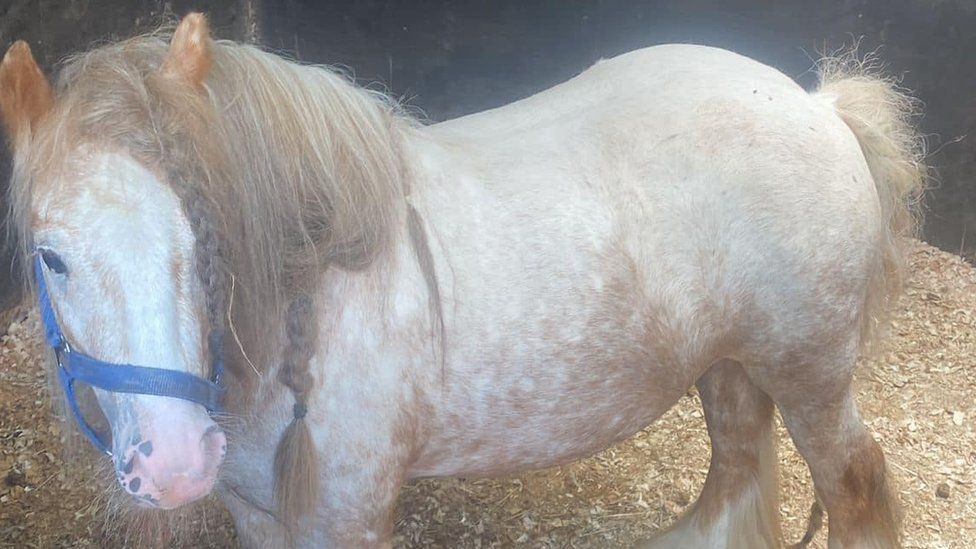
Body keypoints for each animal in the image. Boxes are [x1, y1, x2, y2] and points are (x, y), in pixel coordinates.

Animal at [0, 12, 924, 548]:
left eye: (207, 232)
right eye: (52, 255)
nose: (174, 462)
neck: (309, 308)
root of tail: (817, 105)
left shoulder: (347, 519)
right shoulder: (260, 516)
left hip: (810, 376)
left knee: (854, 483)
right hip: (730, 366)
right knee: (734, 472)